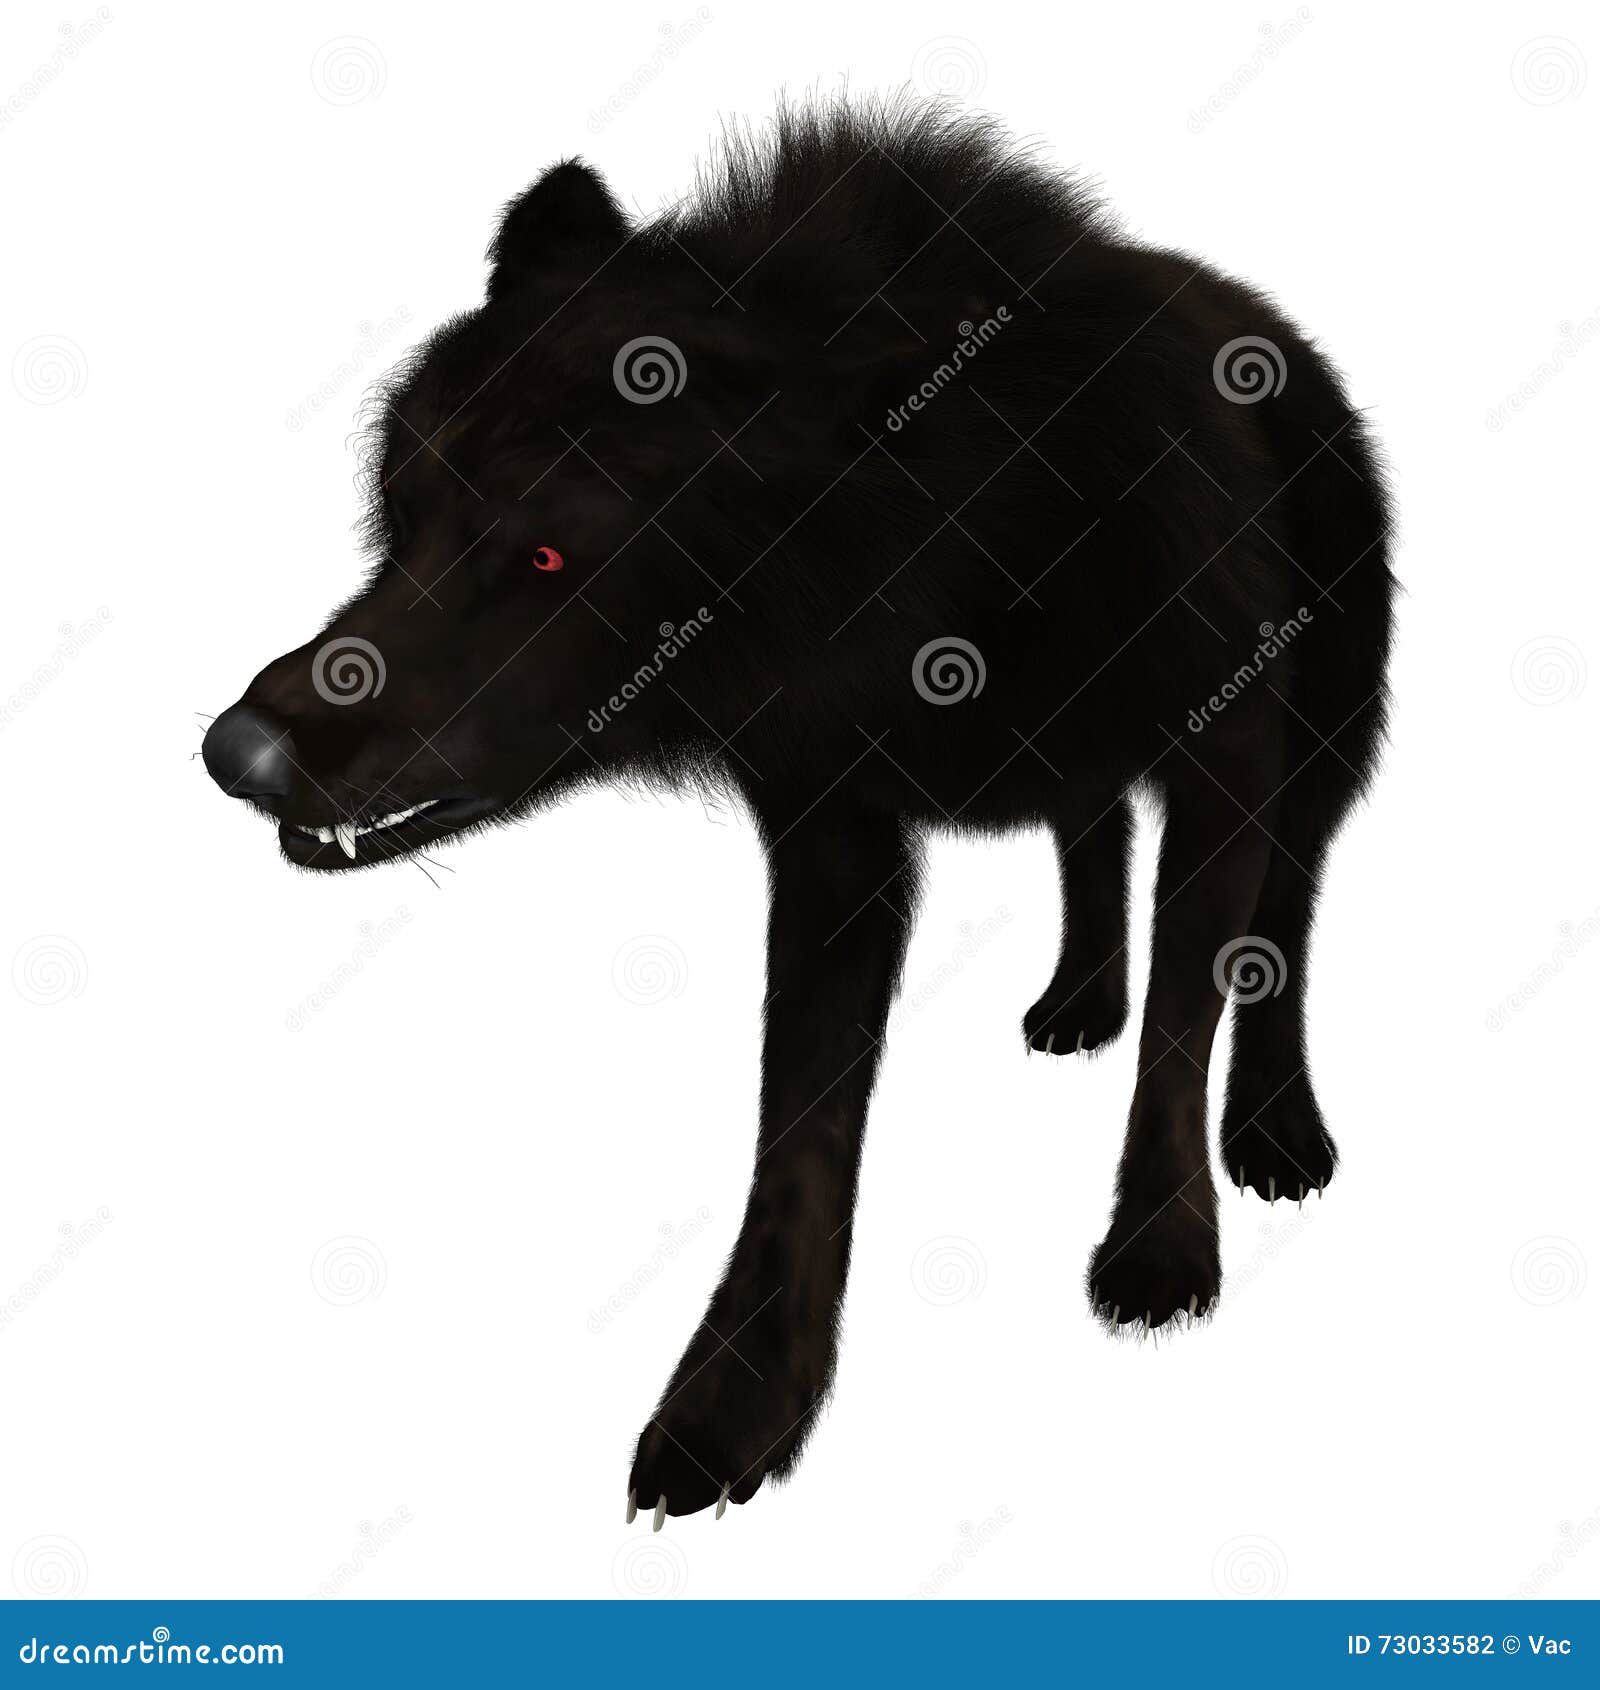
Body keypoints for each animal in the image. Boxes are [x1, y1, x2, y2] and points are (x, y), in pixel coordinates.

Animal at [202, 98, 1395, 1526]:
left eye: (546, 553)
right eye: (406, 507)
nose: (238, 750)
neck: (975, 558)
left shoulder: (1227, 757)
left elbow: (1186, 1012)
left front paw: (1161, 1253)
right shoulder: (832, 830)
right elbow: (802, 1123)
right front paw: (735, 1408)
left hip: (1323, 750)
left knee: (1285, 924)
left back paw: (1275, 1127)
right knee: (1091, 830)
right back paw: (1074, 1006)